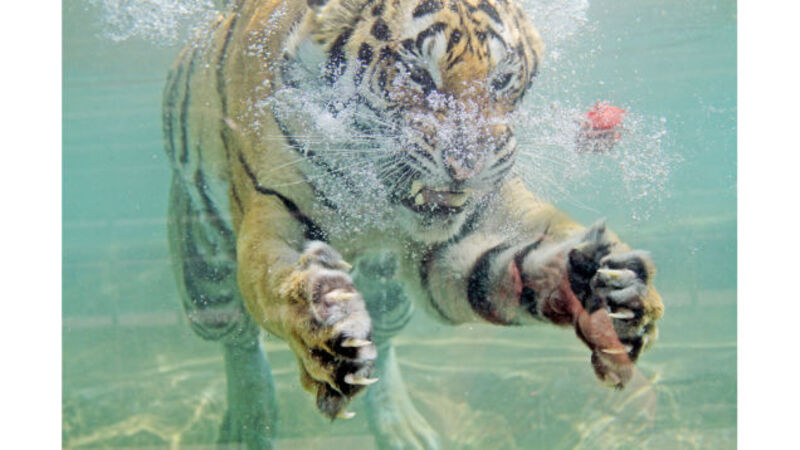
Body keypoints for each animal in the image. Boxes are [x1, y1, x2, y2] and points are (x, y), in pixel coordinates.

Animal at [162, 0, 664, 448]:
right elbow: (282, 285)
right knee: (238, 340)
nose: (467, 164)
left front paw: (615, 289)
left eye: (501, 80)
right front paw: (327, 334)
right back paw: (250, 425)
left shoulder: (466, 229)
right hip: (205, 270)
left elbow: (516, 257)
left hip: (388, 291)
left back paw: (401, 428)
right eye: (418, 75)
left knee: (382, 342)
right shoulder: (277, 213)